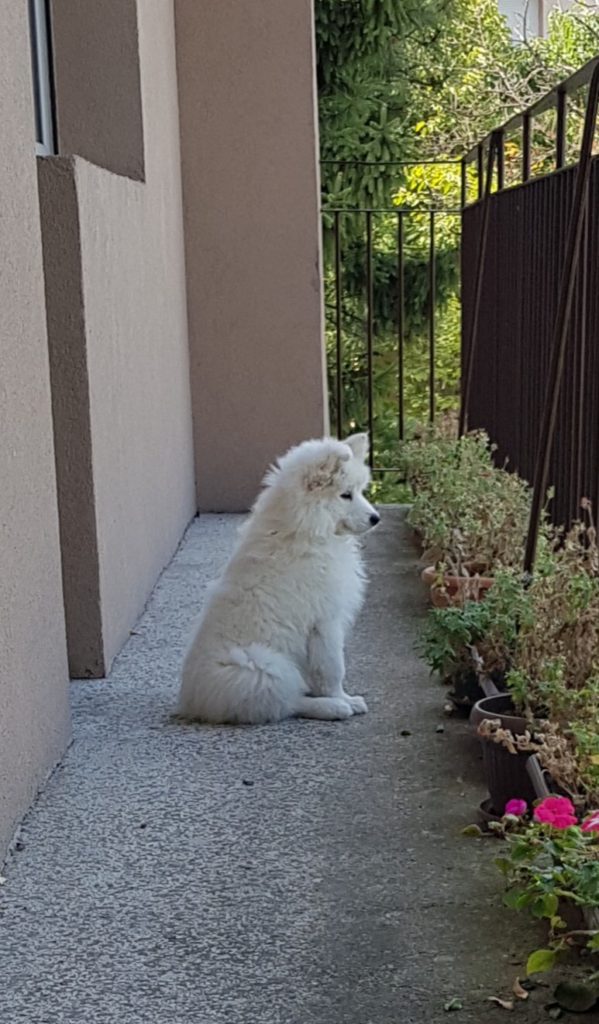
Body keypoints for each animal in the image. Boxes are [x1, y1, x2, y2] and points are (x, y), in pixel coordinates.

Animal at [177, 436, 380, 724]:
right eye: (345, 495)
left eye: (360, 491)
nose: (376, 518)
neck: (306, 530)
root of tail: (192, 703)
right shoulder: (324, 621)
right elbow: (332, 668)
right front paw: (343, 698)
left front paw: (344, 697)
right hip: (262, 667)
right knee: (287, 703)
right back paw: (332, 708)